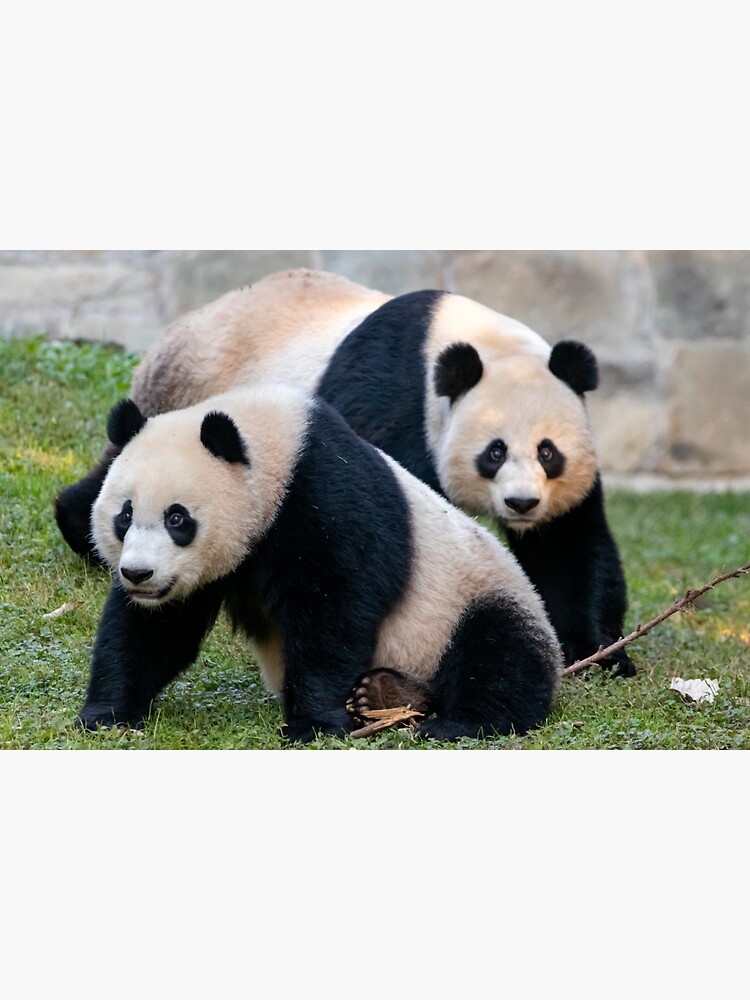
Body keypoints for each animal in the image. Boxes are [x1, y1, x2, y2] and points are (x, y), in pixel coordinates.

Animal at [56, 267, 633, 676]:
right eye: (494, 452)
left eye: (548, 454)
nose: (521, 505)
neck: (481, 344)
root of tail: (173, 332)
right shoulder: (391, 402)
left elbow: (569, 548)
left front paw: (600, 653)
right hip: (187, 400)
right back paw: (80, 528)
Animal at [79, 384, 563, 742]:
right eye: (124, 515)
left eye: (177, 518)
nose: (138, 574)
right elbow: (158, 629)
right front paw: (107, 712)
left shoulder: (326, 494)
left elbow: (334, 609)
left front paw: (312, 723)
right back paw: (384, 694)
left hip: (476, 594)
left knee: (500, 652)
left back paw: (455, 721)